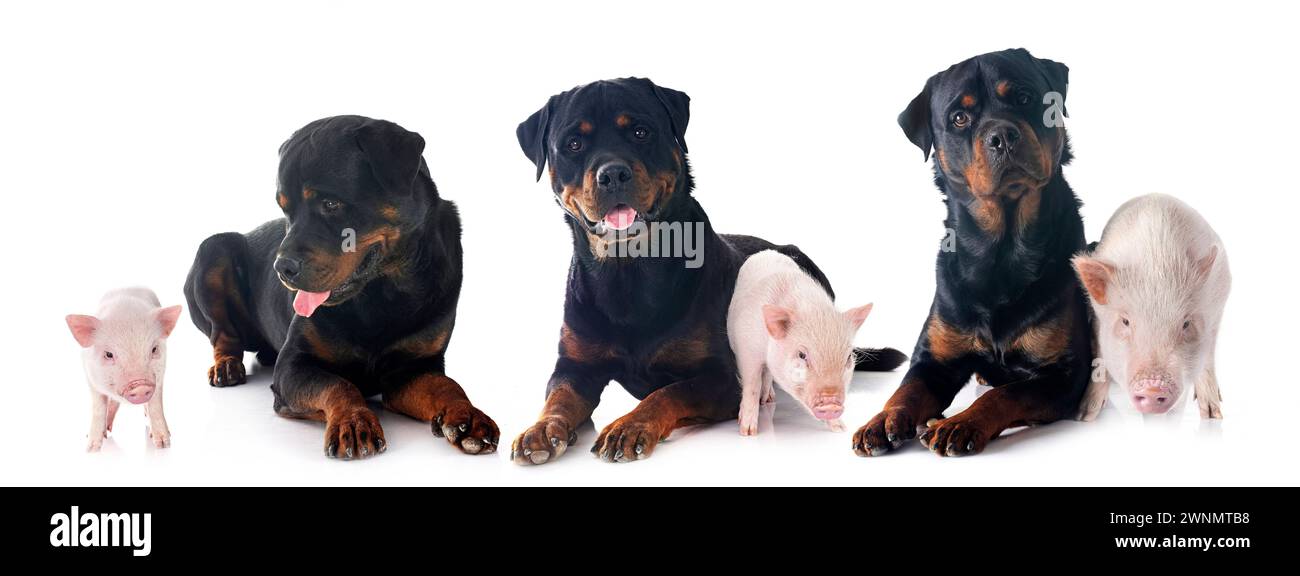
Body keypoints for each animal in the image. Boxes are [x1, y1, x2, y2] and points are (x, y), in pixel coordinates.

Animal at [66, 288, 182, 451]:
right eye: (109, 354)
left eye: (154, 349)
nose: (140, 387)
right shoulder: (90, 378)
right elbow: (99, 408)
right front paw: (92, 447)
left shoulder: (159, 377)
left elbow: (155, 406)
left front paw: (163, 444)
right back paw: (107, 431)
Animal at [729, 250, 876, 435]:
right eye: (802, 355)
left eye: (848, 357)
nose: (831, 404)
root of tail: (767, 252)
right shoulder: (747, 350)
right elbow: (752, 385)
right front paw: (748, 432)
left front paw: (841, 429)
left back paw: (769, 399)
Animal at [1072, 193, 1231, 420]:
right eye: (1125, 321)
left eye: (1186, 324)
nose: (1154, 388)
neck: (1156, 261)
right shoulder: (1096, 319)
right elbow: (1099, 357)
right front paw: (1084, 416)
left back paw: (1212, 414)